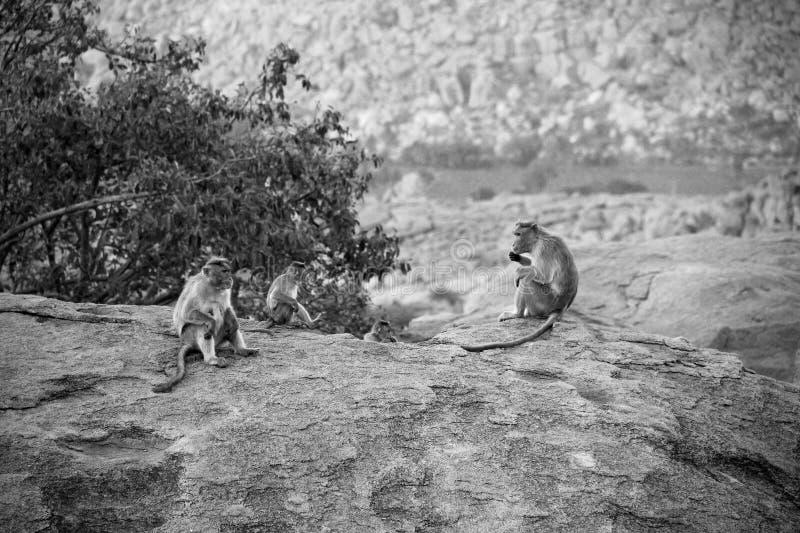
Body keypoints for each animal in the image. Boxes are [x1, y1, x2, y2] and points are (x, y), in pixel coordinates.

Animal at [153, 257, 259, 393]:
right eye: (224, 271)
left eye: (228, 271)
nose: (230, 278)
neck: (212, 286)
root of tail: (185, 342)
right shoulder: (198, 288)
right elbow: (187, 313)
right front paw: (212, 322)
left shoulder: (225, 291)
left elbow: (227, 309)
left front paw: (234, 322)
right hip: (189, 335)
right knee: (204, 323)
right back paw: (211, 359)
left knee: (225, 318)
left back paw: (242, 350)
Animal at [460, 221, 578, 352]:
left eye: (518, 234)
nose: (513, 244)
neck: (538, 238)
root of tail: (559, 309)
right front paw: (518, 258)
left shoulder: (543, 248)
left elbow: (544, 276)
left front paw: (519, 271)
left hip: (546, 302)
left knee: (527, 281)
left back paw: (517, 314)